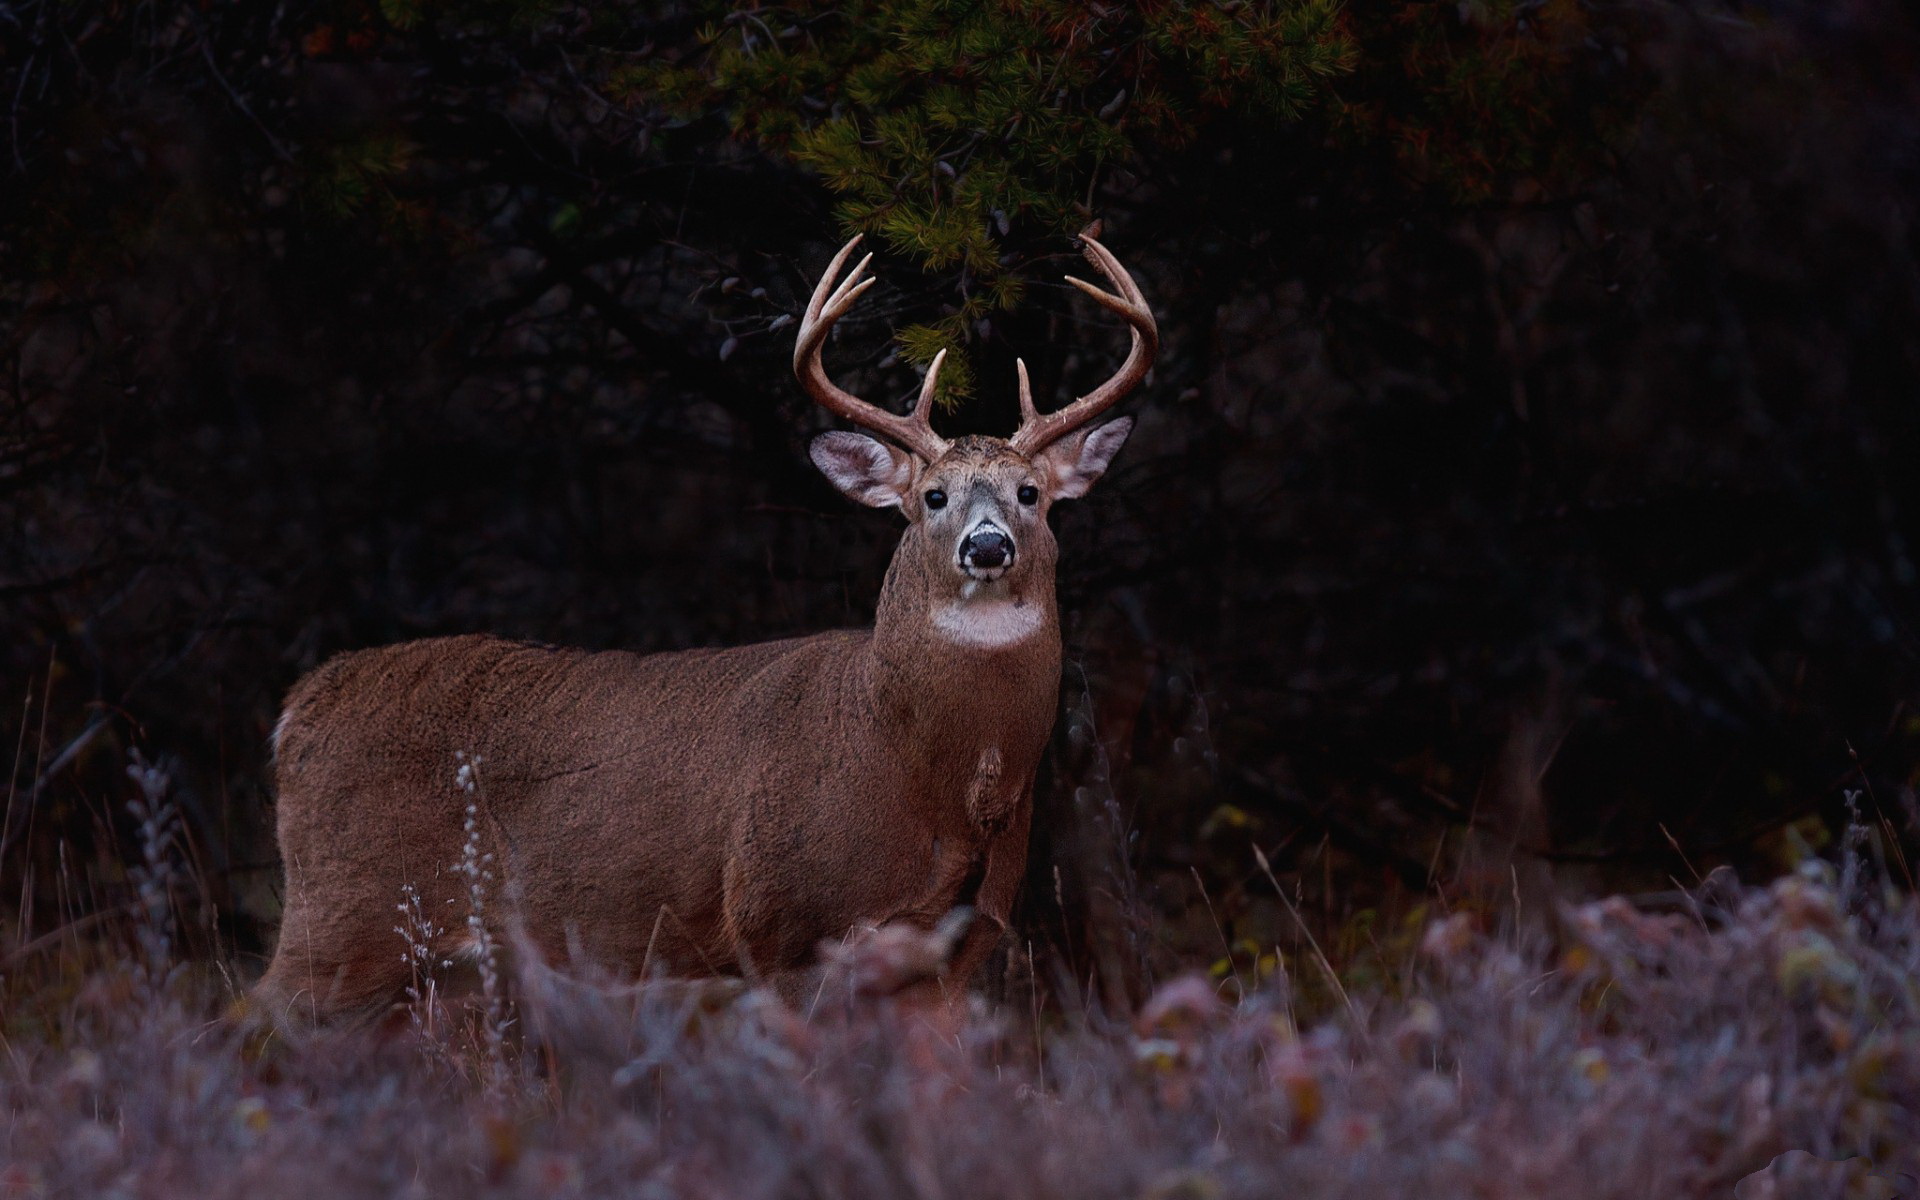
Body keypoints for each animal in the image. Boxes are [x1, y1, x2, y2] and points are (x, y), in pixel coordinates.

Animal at [253, 232, 1157, 1025]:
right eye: (932, 497)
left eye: (1031, 493)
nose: (988, 545)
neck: (917, 766)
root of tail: (299, 708)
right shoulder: (783, 927)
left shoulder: (955, 958)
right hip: (342, 915)